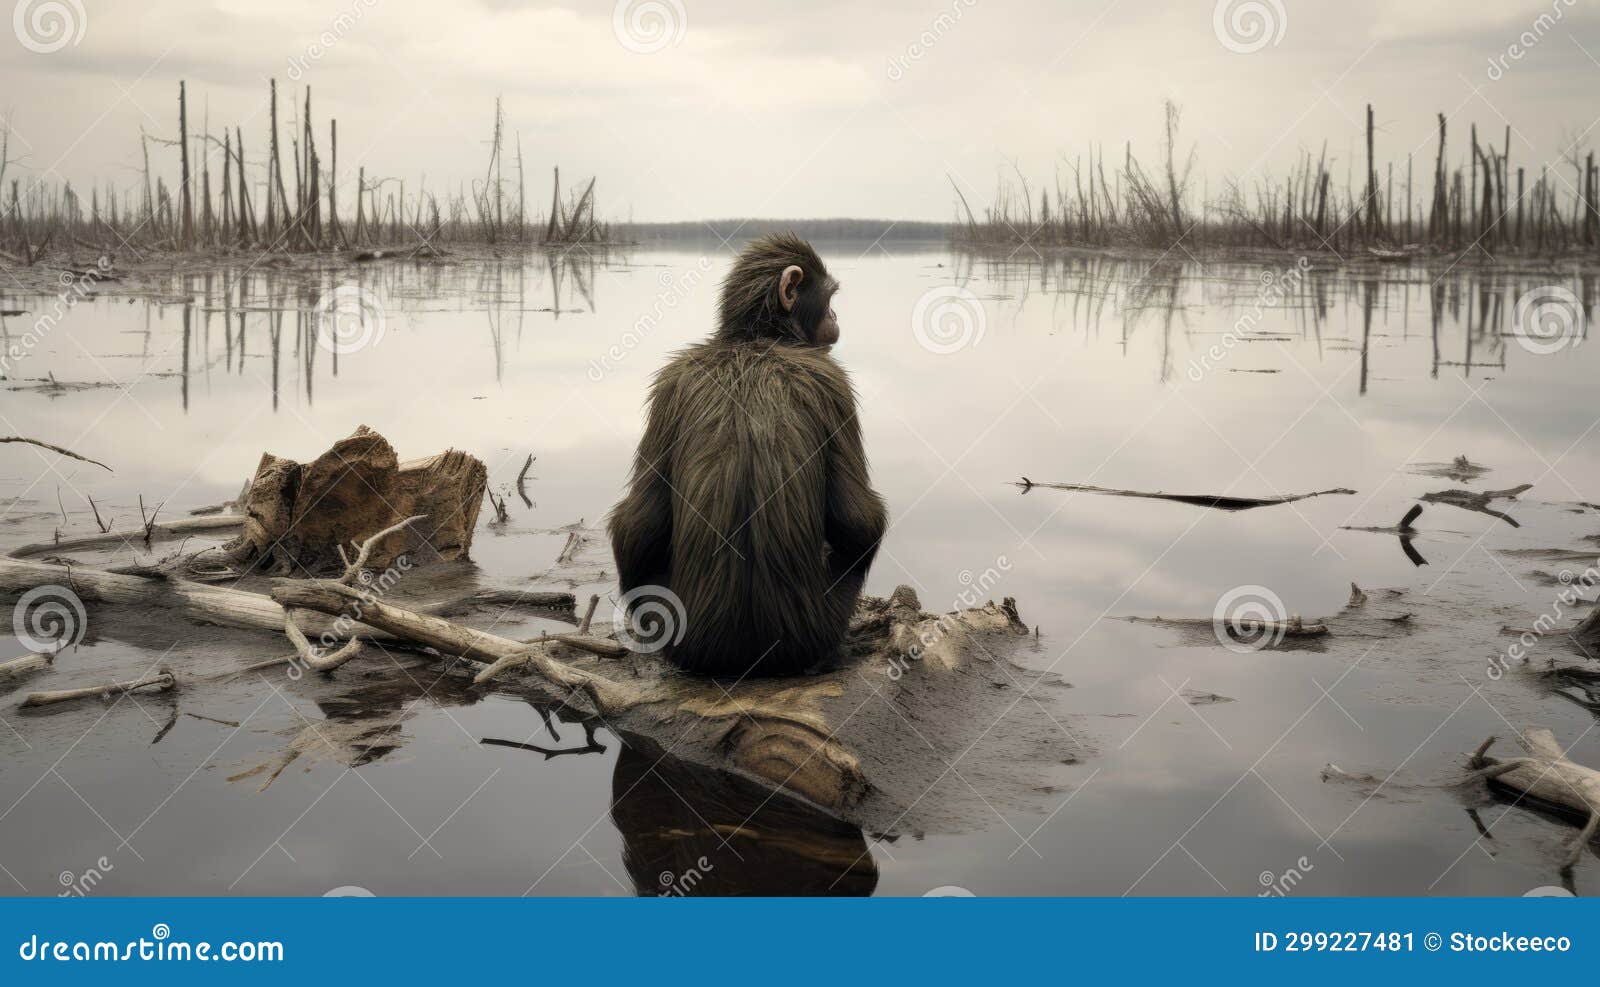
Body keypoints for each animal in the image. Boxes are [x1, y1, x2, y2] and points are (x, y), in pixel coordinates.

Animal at [606, 233, 887, 677]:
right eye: (829, 297)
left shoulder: (670, 384)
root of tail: (745, 659)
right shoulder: (833, 382)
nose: (835, 314)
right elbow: (858, 520)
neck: (757, 339)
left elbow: (640, 519)